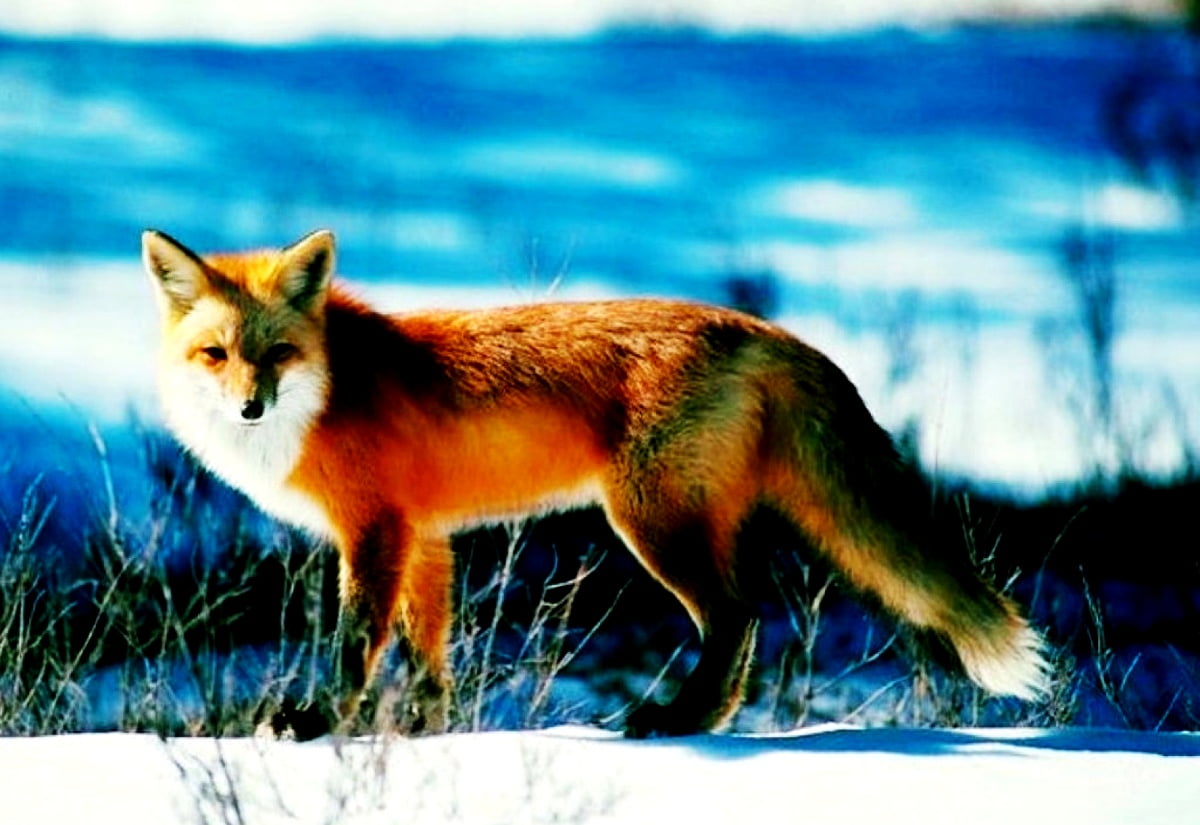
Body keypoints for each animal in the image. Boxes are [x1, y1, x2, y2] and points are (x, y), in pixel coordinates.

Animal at [143, 227, 1049, 739]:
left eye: (277, 354)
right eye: (215, 355)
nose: (250, 408)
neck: (329, 392)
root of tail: (764, 328)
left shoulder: (374, 531)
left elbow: (351, 646)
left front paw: (321, 725)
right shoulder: (424, 534)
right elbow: (428, 655)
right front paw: (426, 736)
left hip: (650, 523)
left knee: (737, 616)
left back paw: (680, 722)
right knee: (749, 618)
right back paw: (705, 719)